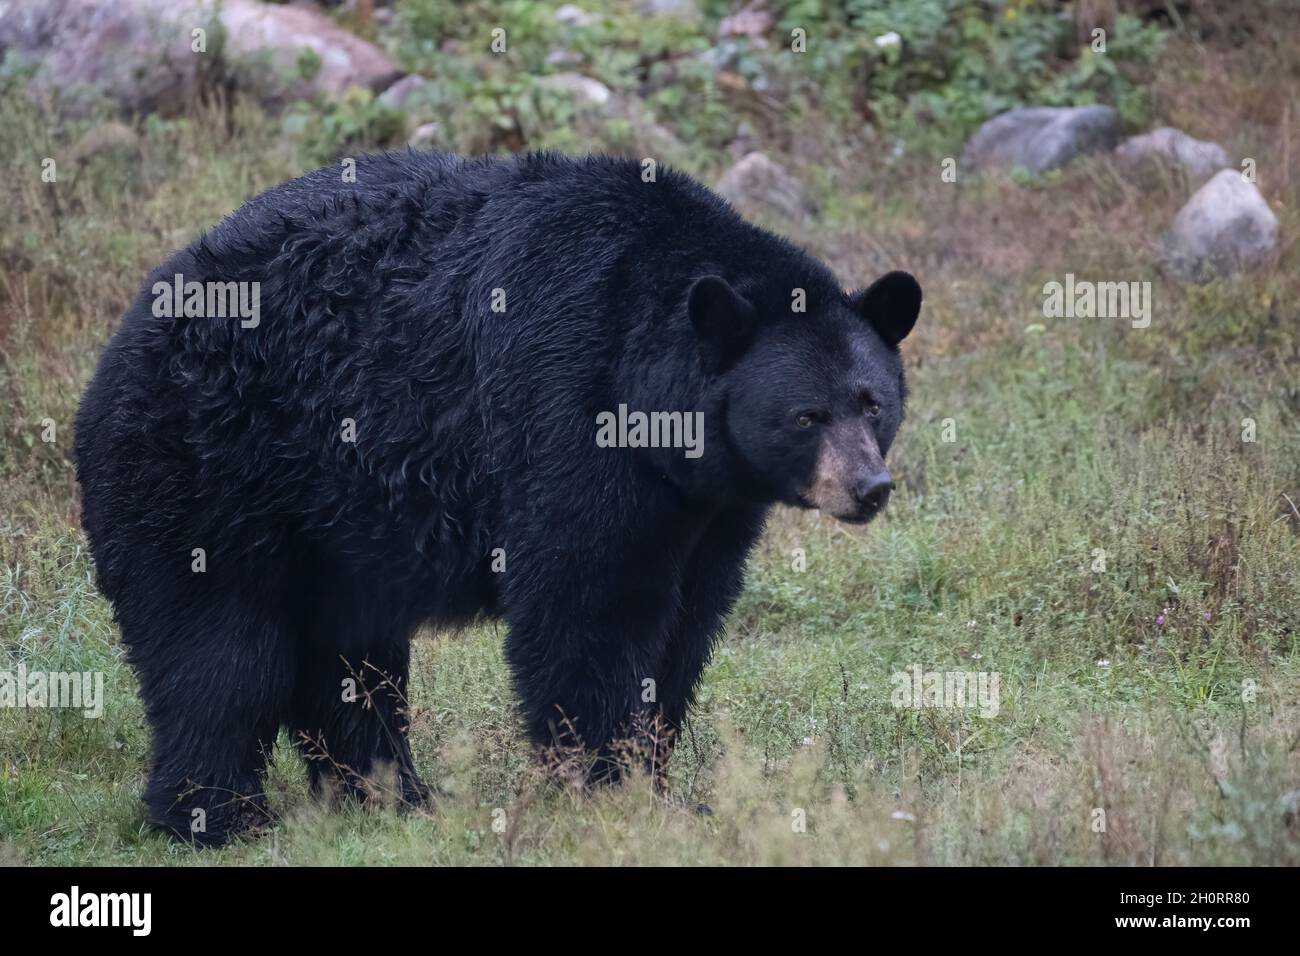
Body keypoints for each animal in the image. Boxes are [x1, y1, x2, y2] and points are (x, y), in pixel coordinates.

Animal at [74, 151, 921, 845]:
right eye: (805, 416)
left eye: (872, 403)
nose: (869, 489)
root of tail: (126, 332)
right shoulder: (567, 409)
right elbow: (586, 605)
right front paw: (603, 791)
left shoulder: (708, 507)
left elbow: (687, 621)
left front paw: (658, 783)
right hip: (208, 461)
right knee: (218, 650)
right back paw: (215, 815)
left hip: (331, 519)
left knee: (348, 653)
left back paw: (387, 796)